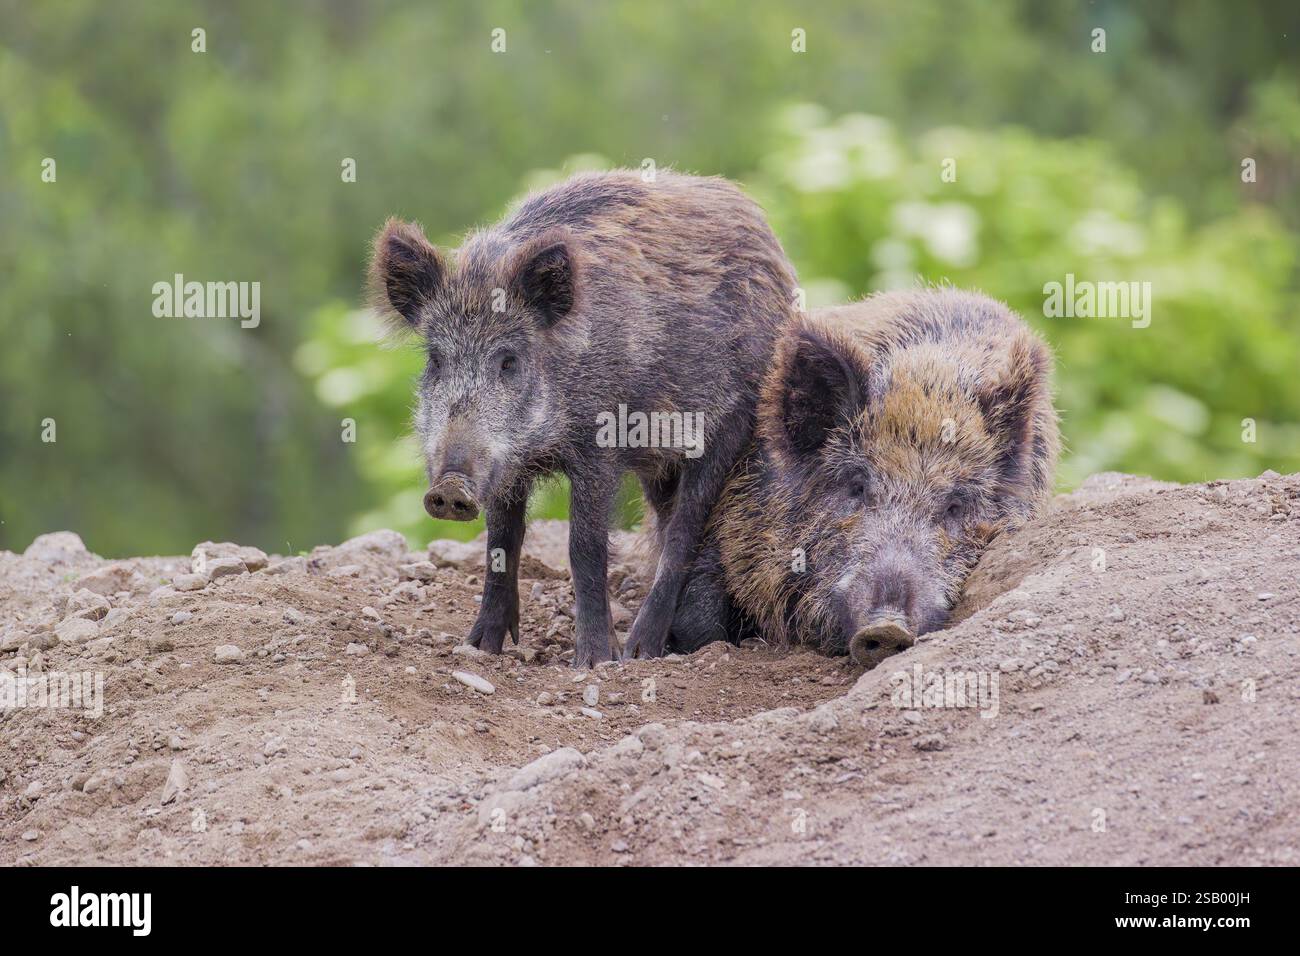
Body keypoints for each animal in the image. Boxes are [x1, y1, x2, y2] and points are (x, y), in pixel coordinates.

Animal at [368, 170, 797, 667]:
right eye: (435, 360)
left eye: (509, 361)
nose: (450, 488)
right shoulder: (507, 468)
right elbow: (501, 542)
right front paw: (479, 648)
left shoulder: (601, 447)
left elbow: (585, 547)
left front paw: (595, 661)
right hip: (660, 464)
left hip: (727, 427)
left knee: (683, 532)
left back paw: (641, 650)